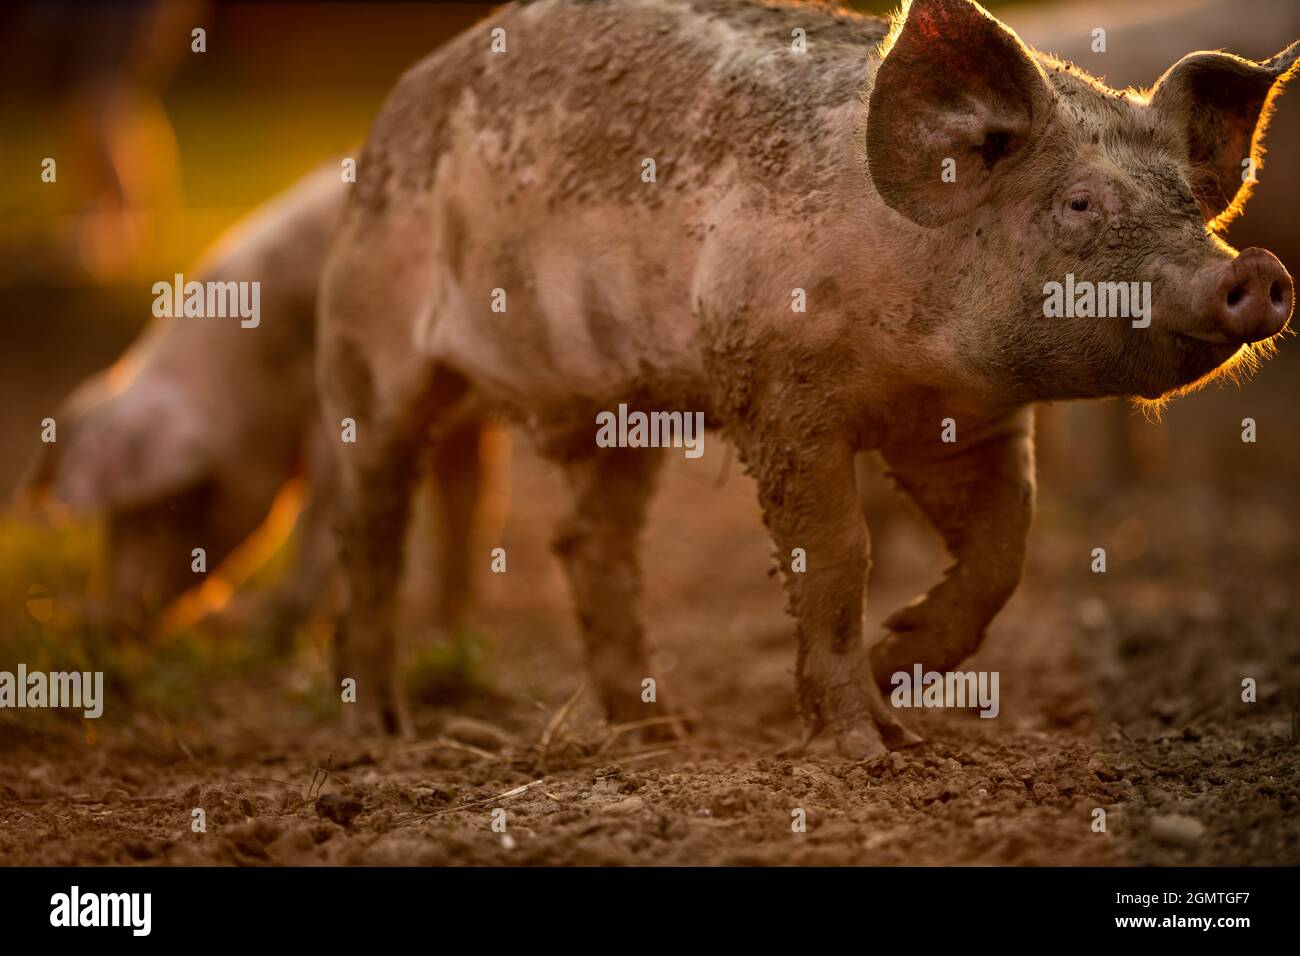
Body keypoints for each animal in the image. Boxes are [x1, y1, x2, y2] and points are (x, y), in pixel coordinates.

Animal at [318, 0, 1297, 755]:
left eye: (1190, 204)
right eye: (1080, 203)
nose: (1253, 270)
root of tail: (394, 108)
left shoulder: (974, 420)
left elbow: (1002, 554)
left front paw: (895, 673)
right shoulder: (774, 391)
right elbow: (834, 557)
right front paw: (867, 749)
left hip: (622, 407)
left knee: (586, 542)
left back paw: (662, 734)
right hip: (369, 343)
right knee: (371, 524)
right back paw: (385, 737)